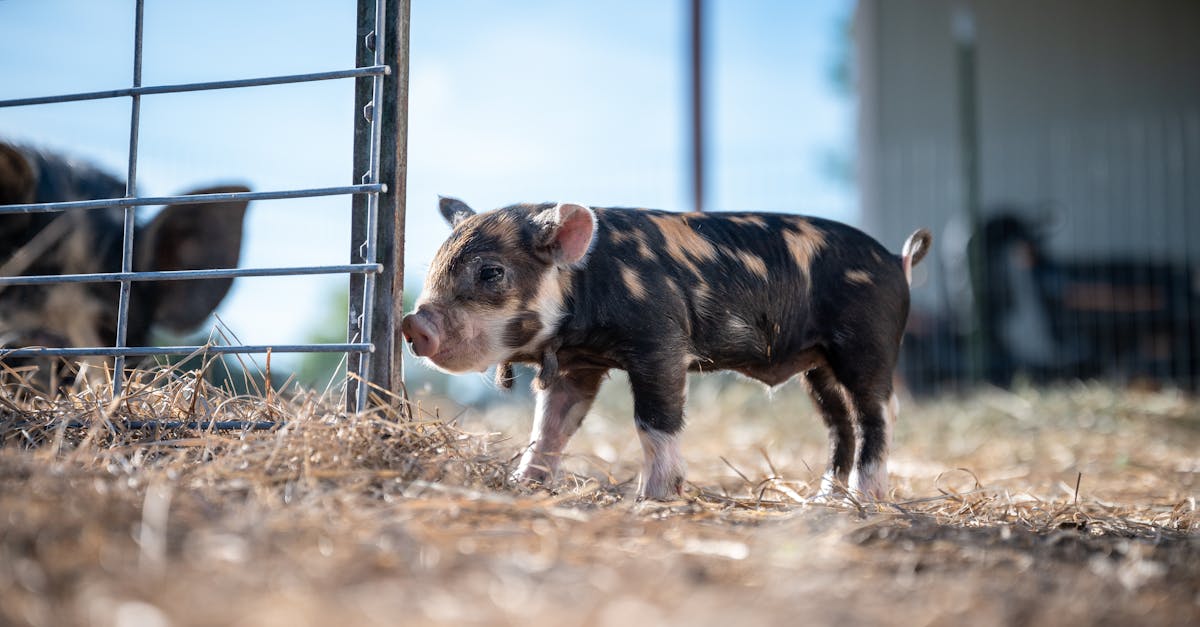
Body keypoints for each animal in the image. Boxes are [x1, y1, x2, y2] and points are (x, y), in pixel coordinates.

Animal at [403, 198, 926, 499]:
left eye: (491, 272)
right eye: (435, 265)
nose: (412, 322)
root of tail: (896, 261)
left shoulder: (661, 342)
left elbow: (654, 420)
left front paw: (653, 497)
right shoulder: (578, 366)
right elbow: (548, 428)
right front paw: (522, 486)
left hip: (866, 344)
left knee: (878, 414)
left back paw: (867, 499)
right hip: (816, 366)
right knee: (841, 424)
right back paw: (826, 500)